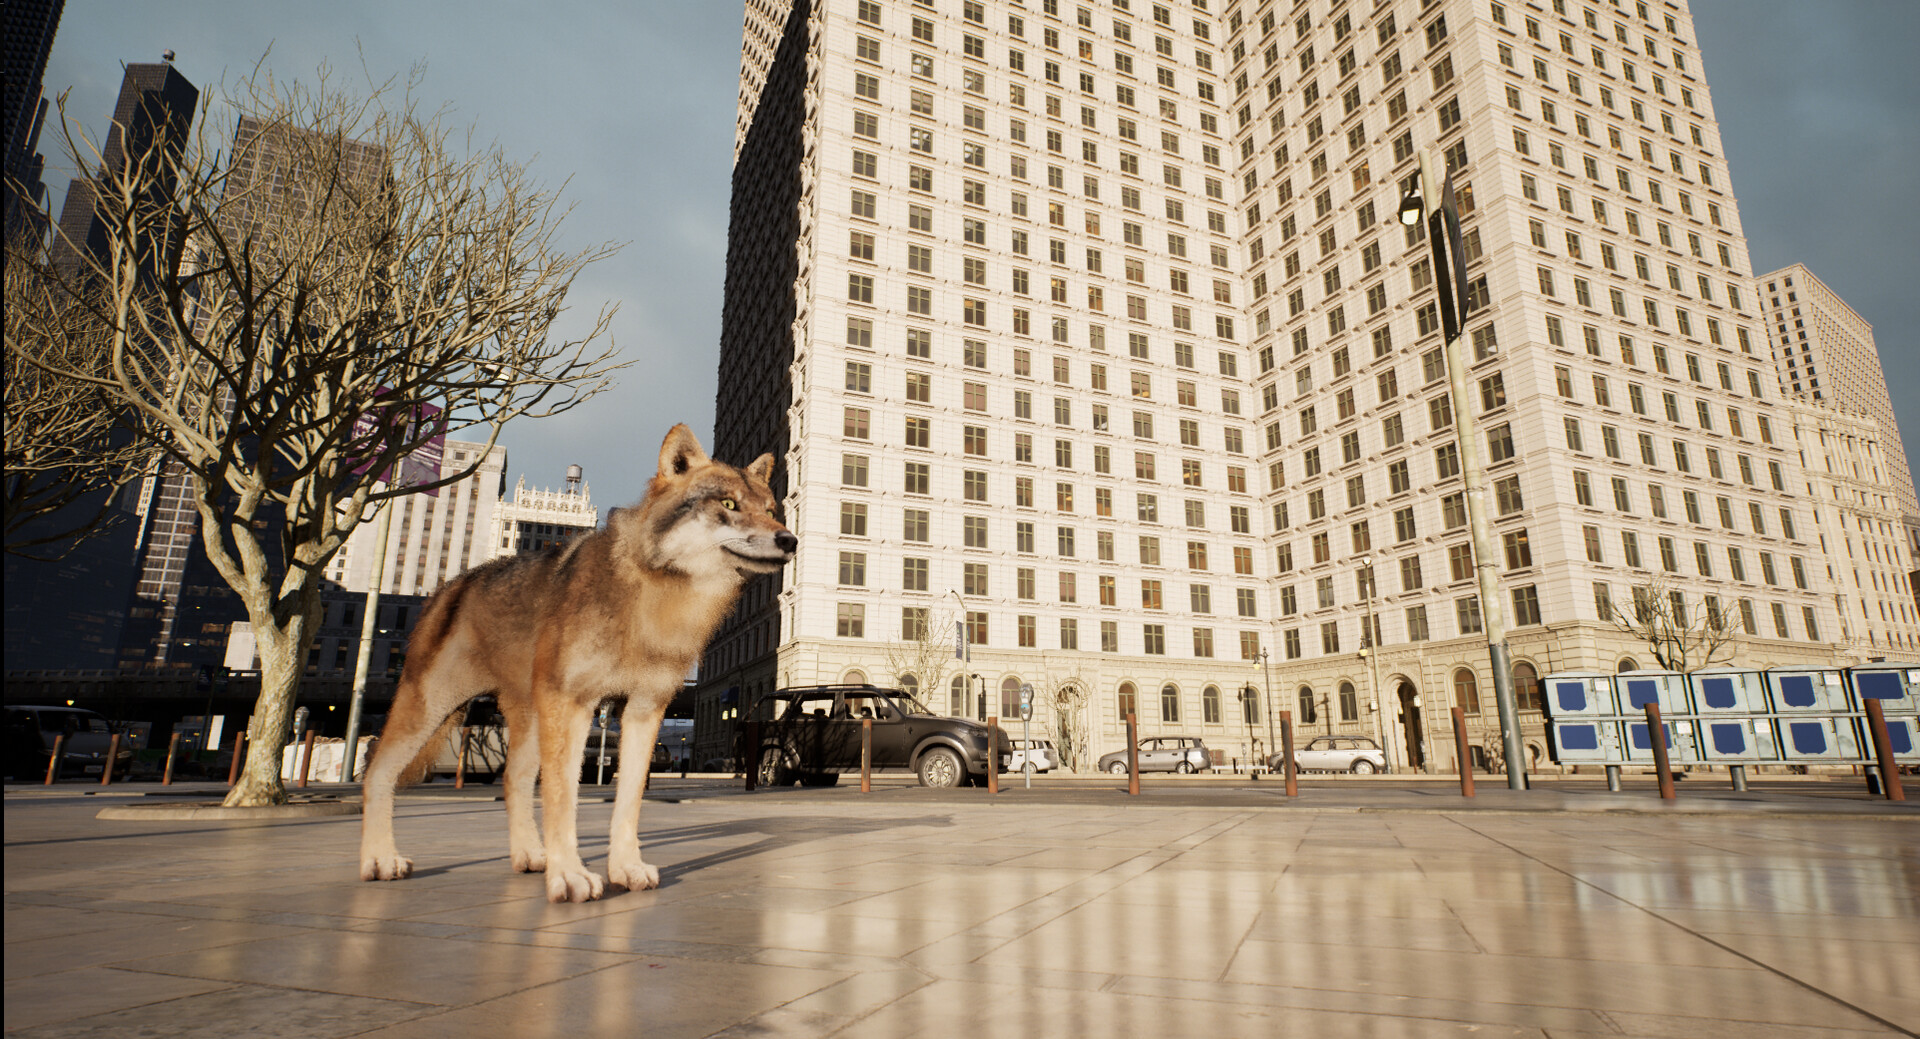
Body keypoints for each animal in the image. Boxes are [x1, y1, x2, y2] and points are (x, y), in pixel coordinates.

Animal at [358, 424, 795, 902]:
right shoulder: (575, 704)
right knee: (377, 773)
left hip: (528, 721)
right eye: (729, 505)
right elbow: (563, 797)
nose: (790, 540)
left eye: (771, 510)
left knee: (512, 781)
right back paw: (379, 860)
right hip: (430, 711)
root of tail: (449, 586)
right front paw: (569, 875)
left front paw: (625, 868)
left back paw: (529, 856)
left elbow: (627, 802)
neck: (654, 593)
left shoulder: (644, 710)